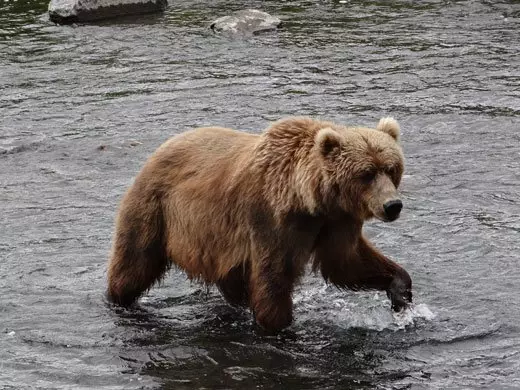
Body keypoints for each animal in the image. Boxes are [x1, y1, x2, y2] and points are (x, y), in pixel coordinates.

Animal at [107, 116, 412, 332]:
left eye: (391, 168)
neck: (307, 199)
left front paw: (401, 294)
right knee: (135, 263)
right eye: (366, 173)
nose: (392, 205)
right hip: (156, 210)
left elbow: (347, 262)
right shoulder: (270, 221)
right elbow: (273, 278)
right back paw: (119, 299)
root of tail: (158, 149)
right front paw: (280, 326)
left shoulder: (337, 221)